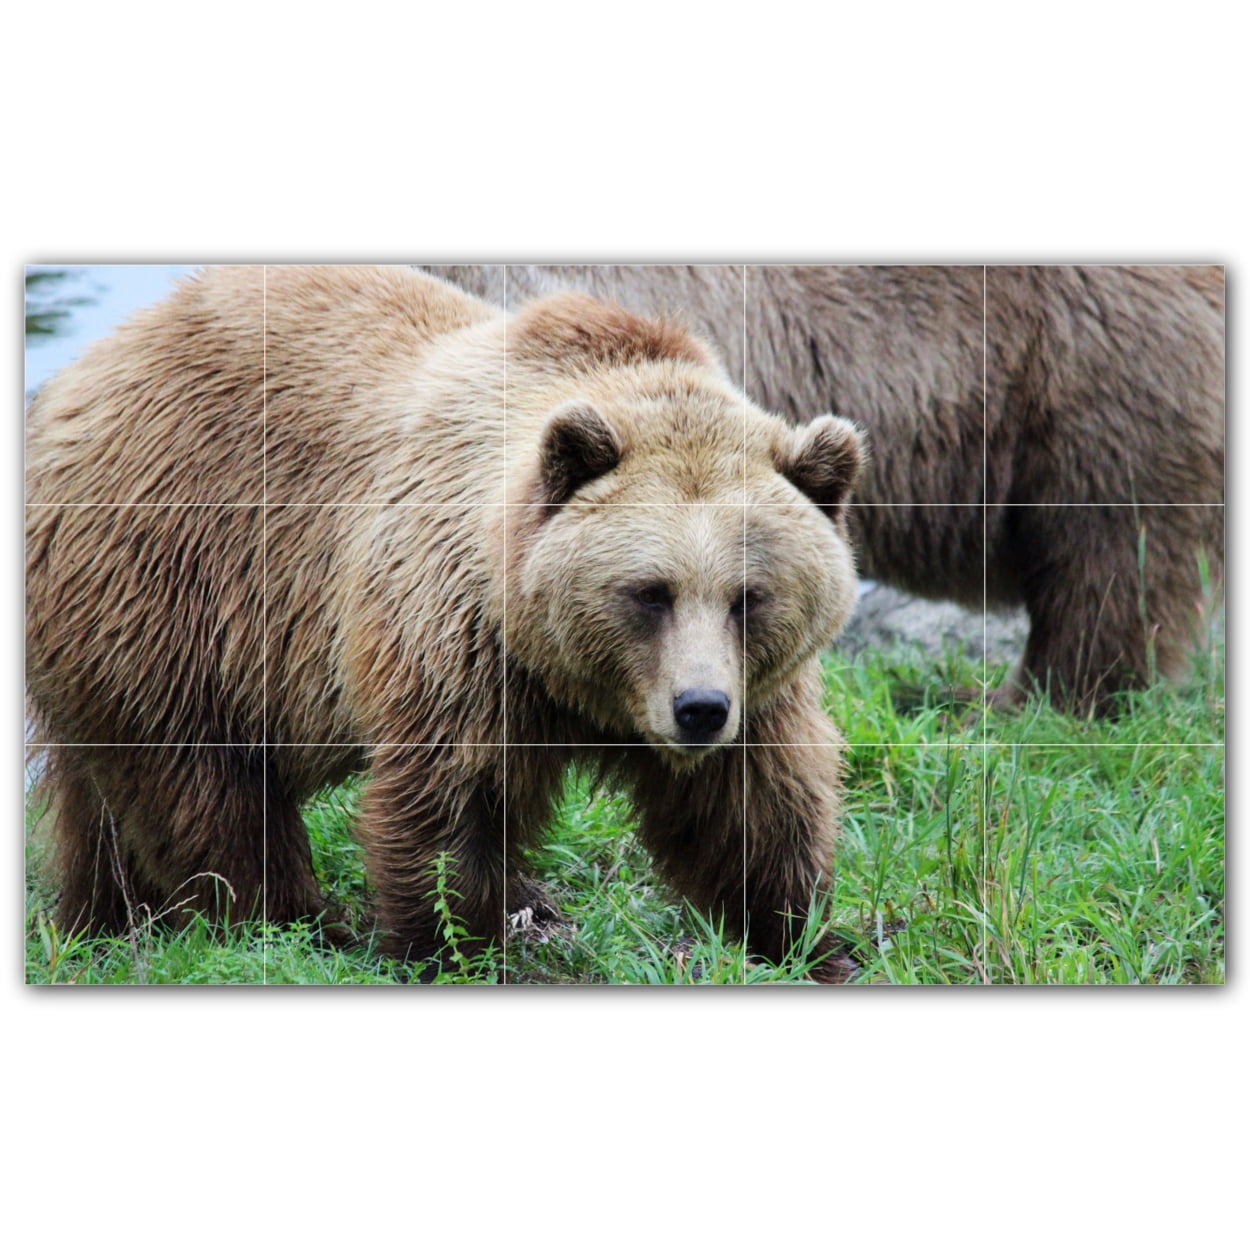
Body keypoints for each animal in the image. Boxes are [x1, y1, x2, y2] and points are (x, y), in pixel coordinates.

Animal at [25, 264, 865, 982]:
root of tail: (85, 371)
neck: (575, 685)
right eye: (649, 592)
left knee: (105, 805)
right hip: (172, 584)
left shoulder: (758, 692)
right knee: (204, 787)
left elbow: (756, 809)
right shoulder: (461, 640)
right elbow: (452, 803)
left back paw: (106, 919)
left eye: (749, 596)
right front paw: (451, 945)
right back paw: (292, 921)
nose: (698, 709)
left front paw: (804, 941)